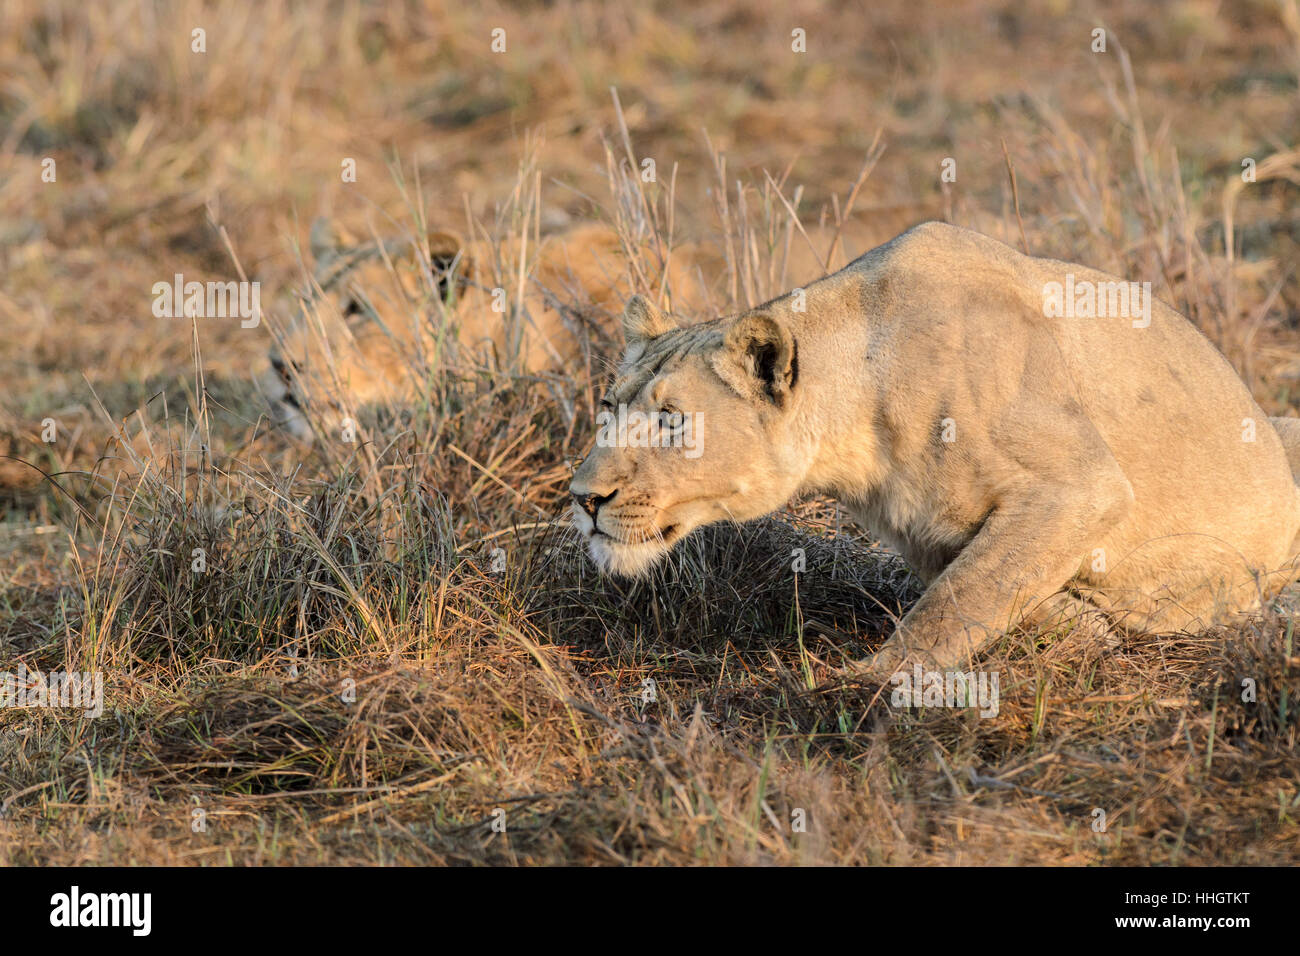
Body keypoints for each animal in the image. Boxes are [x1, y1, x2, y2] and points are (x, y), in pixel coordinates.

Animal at [568, 221, 1300, 680]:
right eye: (607, 409)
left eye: (672, 423)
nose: (582, 499)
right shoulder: (922, 533)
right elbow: (990, 588)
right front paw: (1096, 624)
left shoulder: (1081, 487)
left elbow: (958, 600)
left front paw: (864, 681)